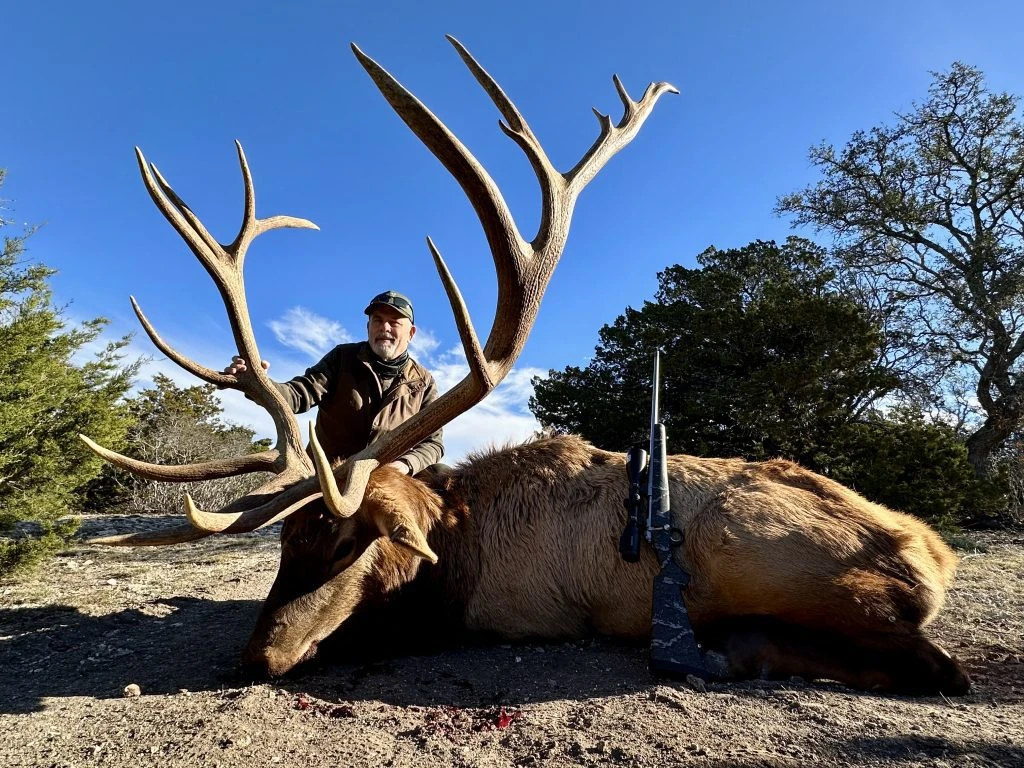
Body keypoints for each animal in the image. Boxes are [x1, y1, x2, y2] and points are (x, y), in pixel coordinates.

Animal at [80, 37, 970, 696]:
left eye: (347, 542)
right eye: (285, 541)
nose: (258, 656)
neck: (456, 540)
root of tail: (934, 556)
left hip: (764, 557)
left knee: (938, 666)